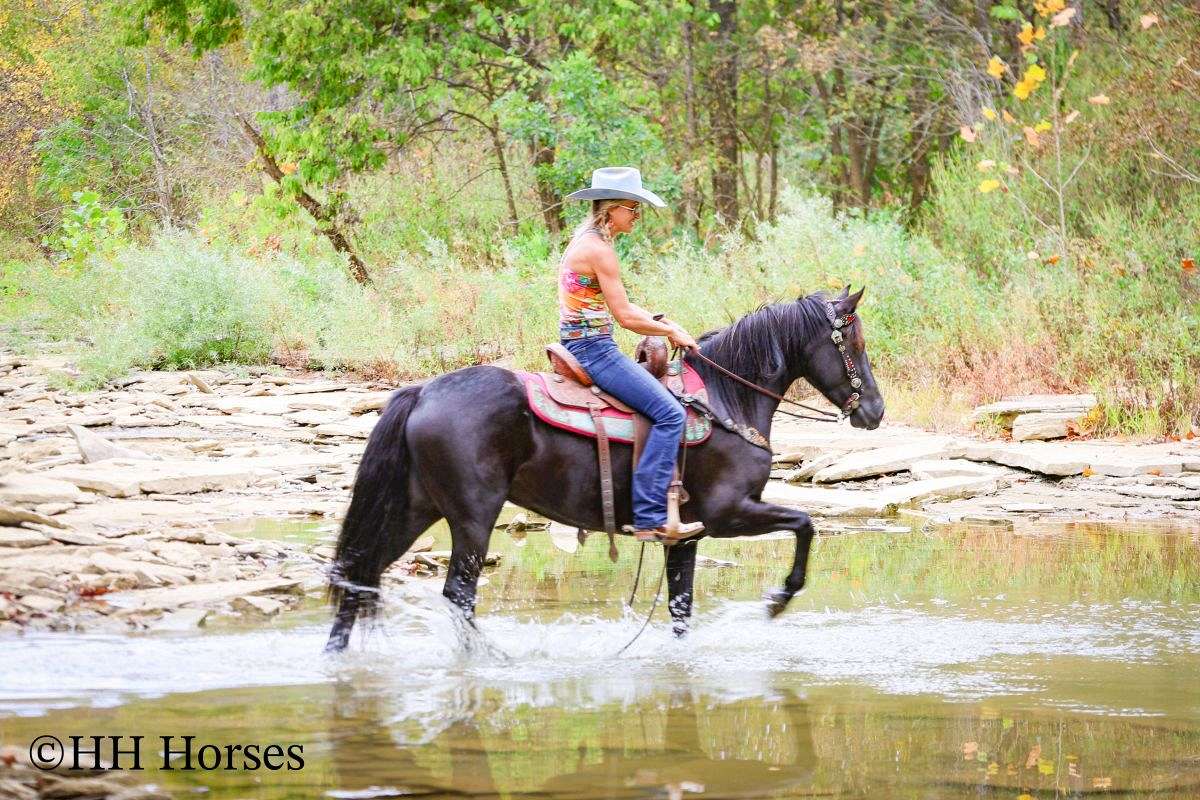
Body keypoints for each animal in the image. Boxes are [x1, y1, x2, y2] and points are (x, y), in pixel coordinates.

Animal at [325, 285, 884, 652]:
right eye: (856, 344)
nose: (875, 411)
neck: (728, 398)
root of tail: (423, 392)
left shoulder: (687, 535)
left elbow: (681, 610)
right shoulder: (728, 513)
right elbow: (805, 524)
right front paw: (779, 598)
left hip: (413, 508)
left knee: (359, 571)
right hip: (472, 516)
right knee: (458, 594)